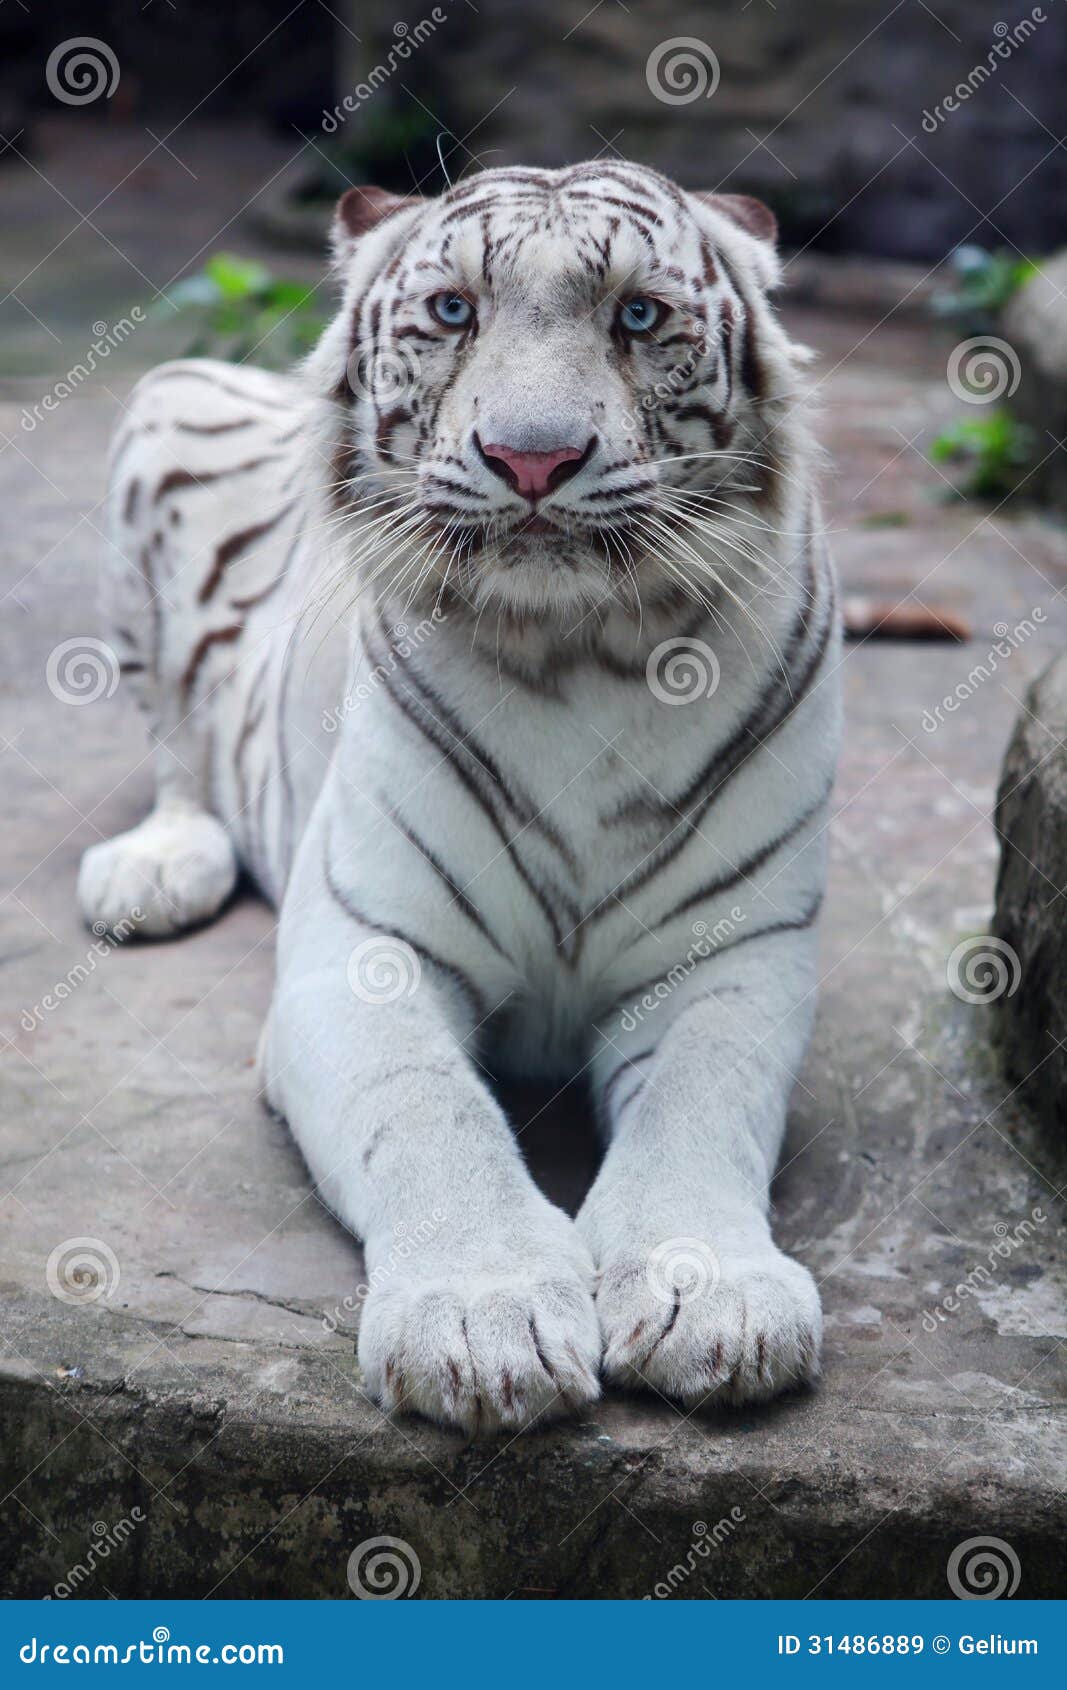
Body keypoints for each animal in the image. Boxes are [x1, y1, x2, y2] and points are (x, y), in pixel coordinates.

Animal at [78, 161, 841, 1435]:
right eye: (452, 311)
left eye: (637, 315)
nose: (531, 458)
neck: (577, 655)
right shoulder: (364, 944)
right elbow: (428, 1109)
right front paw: (483, 1322)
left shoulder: (733, 955)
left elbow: (700, 1102)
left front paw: (711, 1298)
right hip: (162, 407)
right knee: (179, 747)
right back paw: (150, 873)